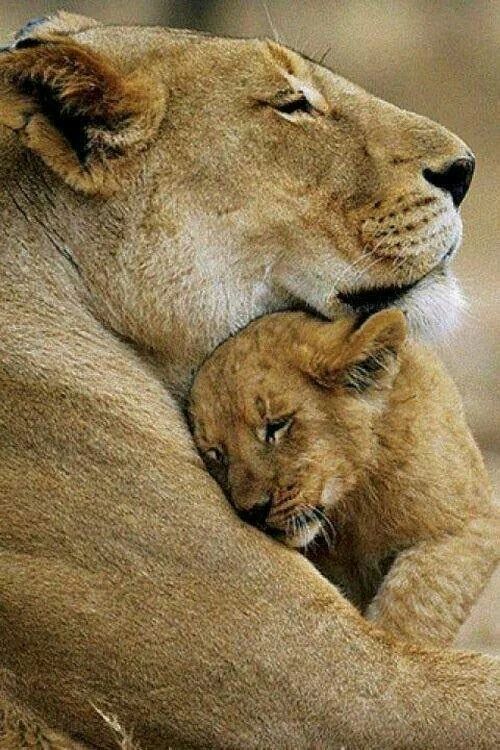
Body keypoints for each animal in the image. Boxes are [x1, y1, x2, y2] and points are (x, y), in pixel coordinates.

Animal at [189, 308, 499, 647]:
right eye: (217, 454)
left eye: (277, 425)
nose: (253, 511)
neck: (352, 504)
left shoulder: (473, 522)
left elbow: (418, 599)